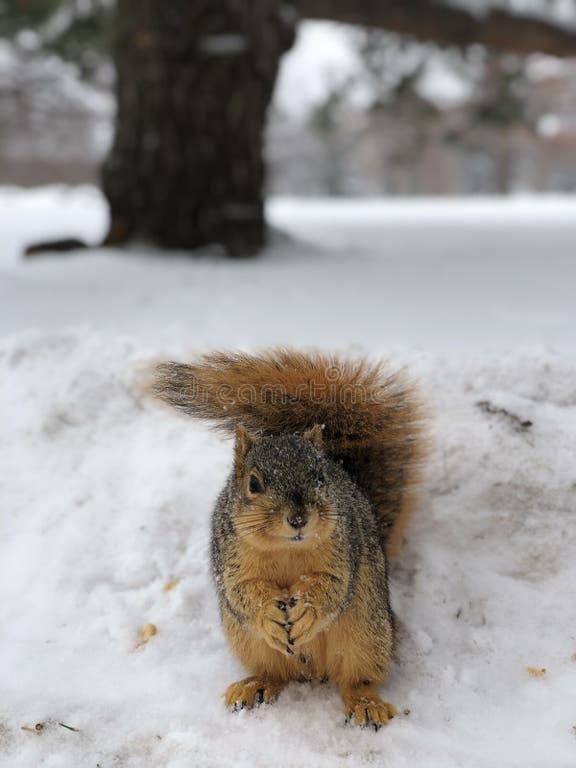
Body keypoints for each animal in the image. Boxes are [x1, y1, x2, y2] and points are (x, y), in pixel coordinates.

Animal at [149, 348, 427, 729]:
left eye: (321, 477)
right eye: (253, 483)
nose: (298, 519)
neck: (286, 549)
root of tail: (312, 672)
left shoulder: (345, 549)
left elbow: (332, 586)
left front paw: (305, 608)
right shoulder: (232, 558)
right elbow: (243, 593)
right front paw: (269, 612)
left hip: (368, 635)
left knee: (356, 679)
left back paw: (366, 703)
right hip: (250, 643)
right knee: (273, 672)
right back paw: (254, 686)